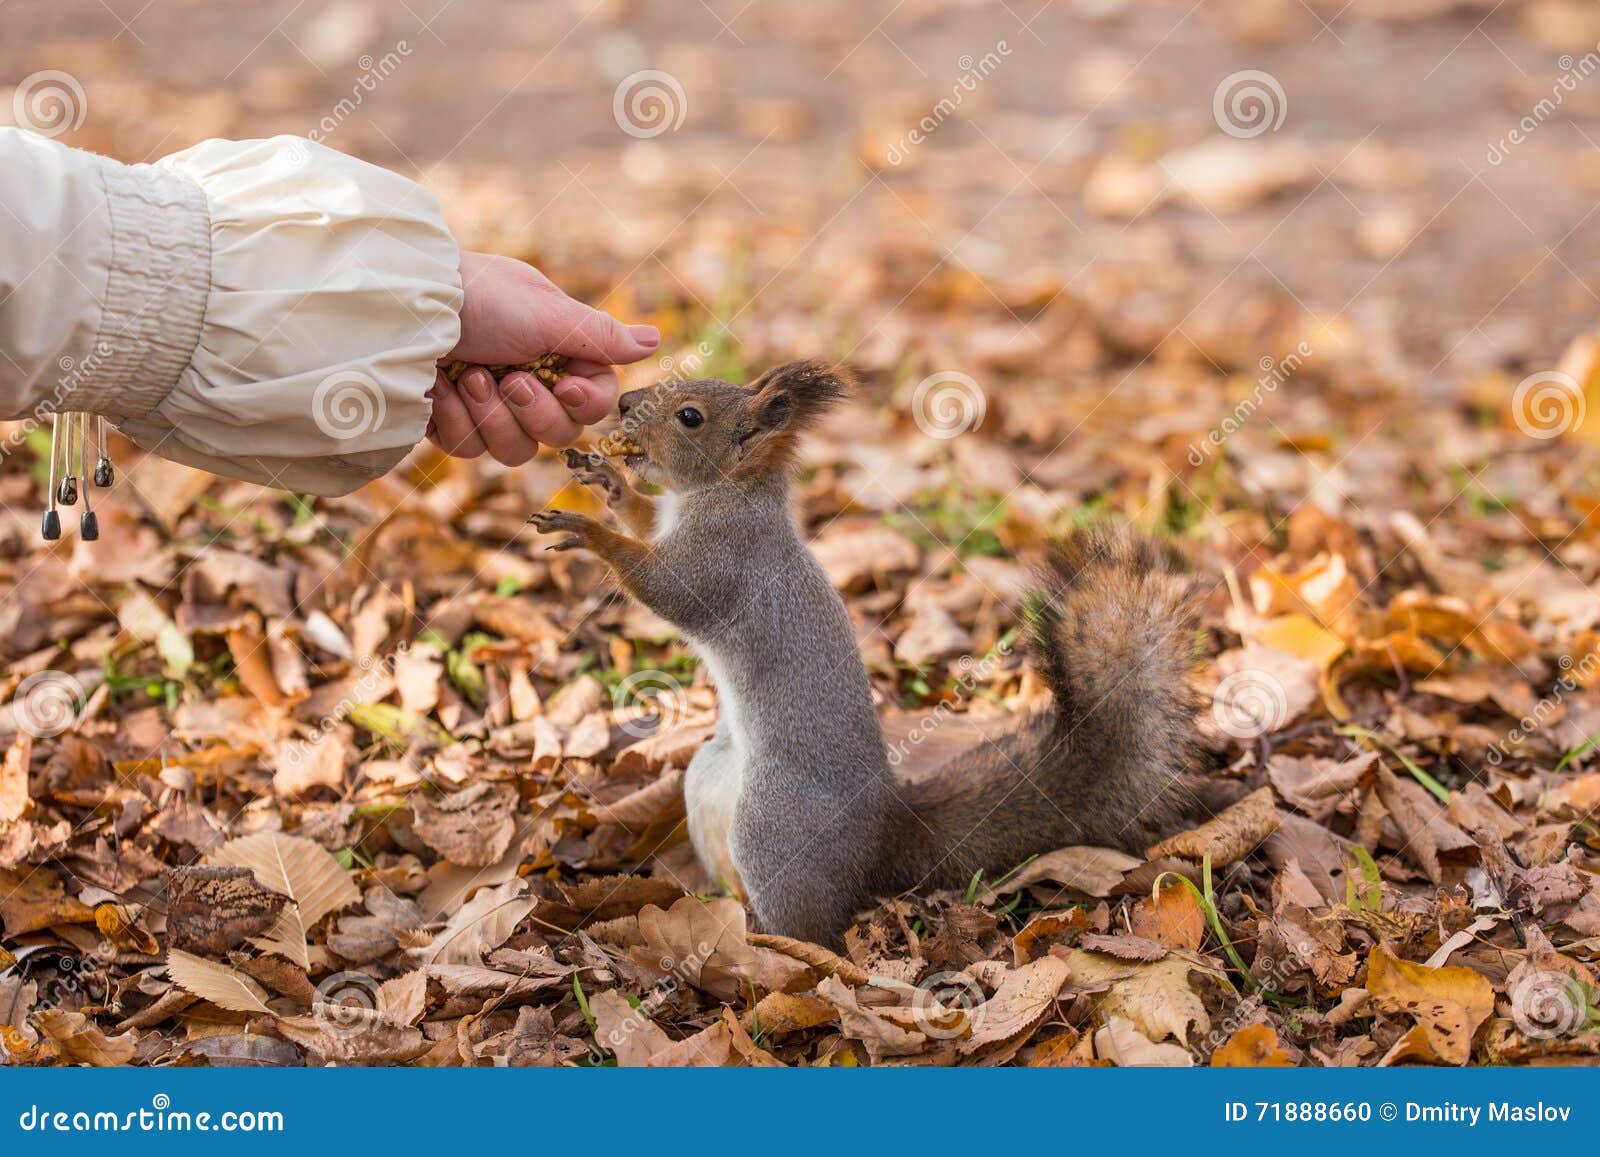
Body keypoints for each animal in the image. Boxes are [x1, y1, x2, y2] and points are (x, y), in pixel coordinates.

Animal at [530, 360, 1208, 946]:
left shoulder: (722, 561)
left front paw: (587, 530)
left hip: (774, 825)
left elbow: (663, 586)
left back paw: (770, 951)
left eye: (690, 416)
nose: (622, 403)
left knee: (812, 924)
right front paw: (608, 483)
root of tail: (882, 832)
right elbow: (644, 520)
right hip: (706, 780)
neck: (725, 494)